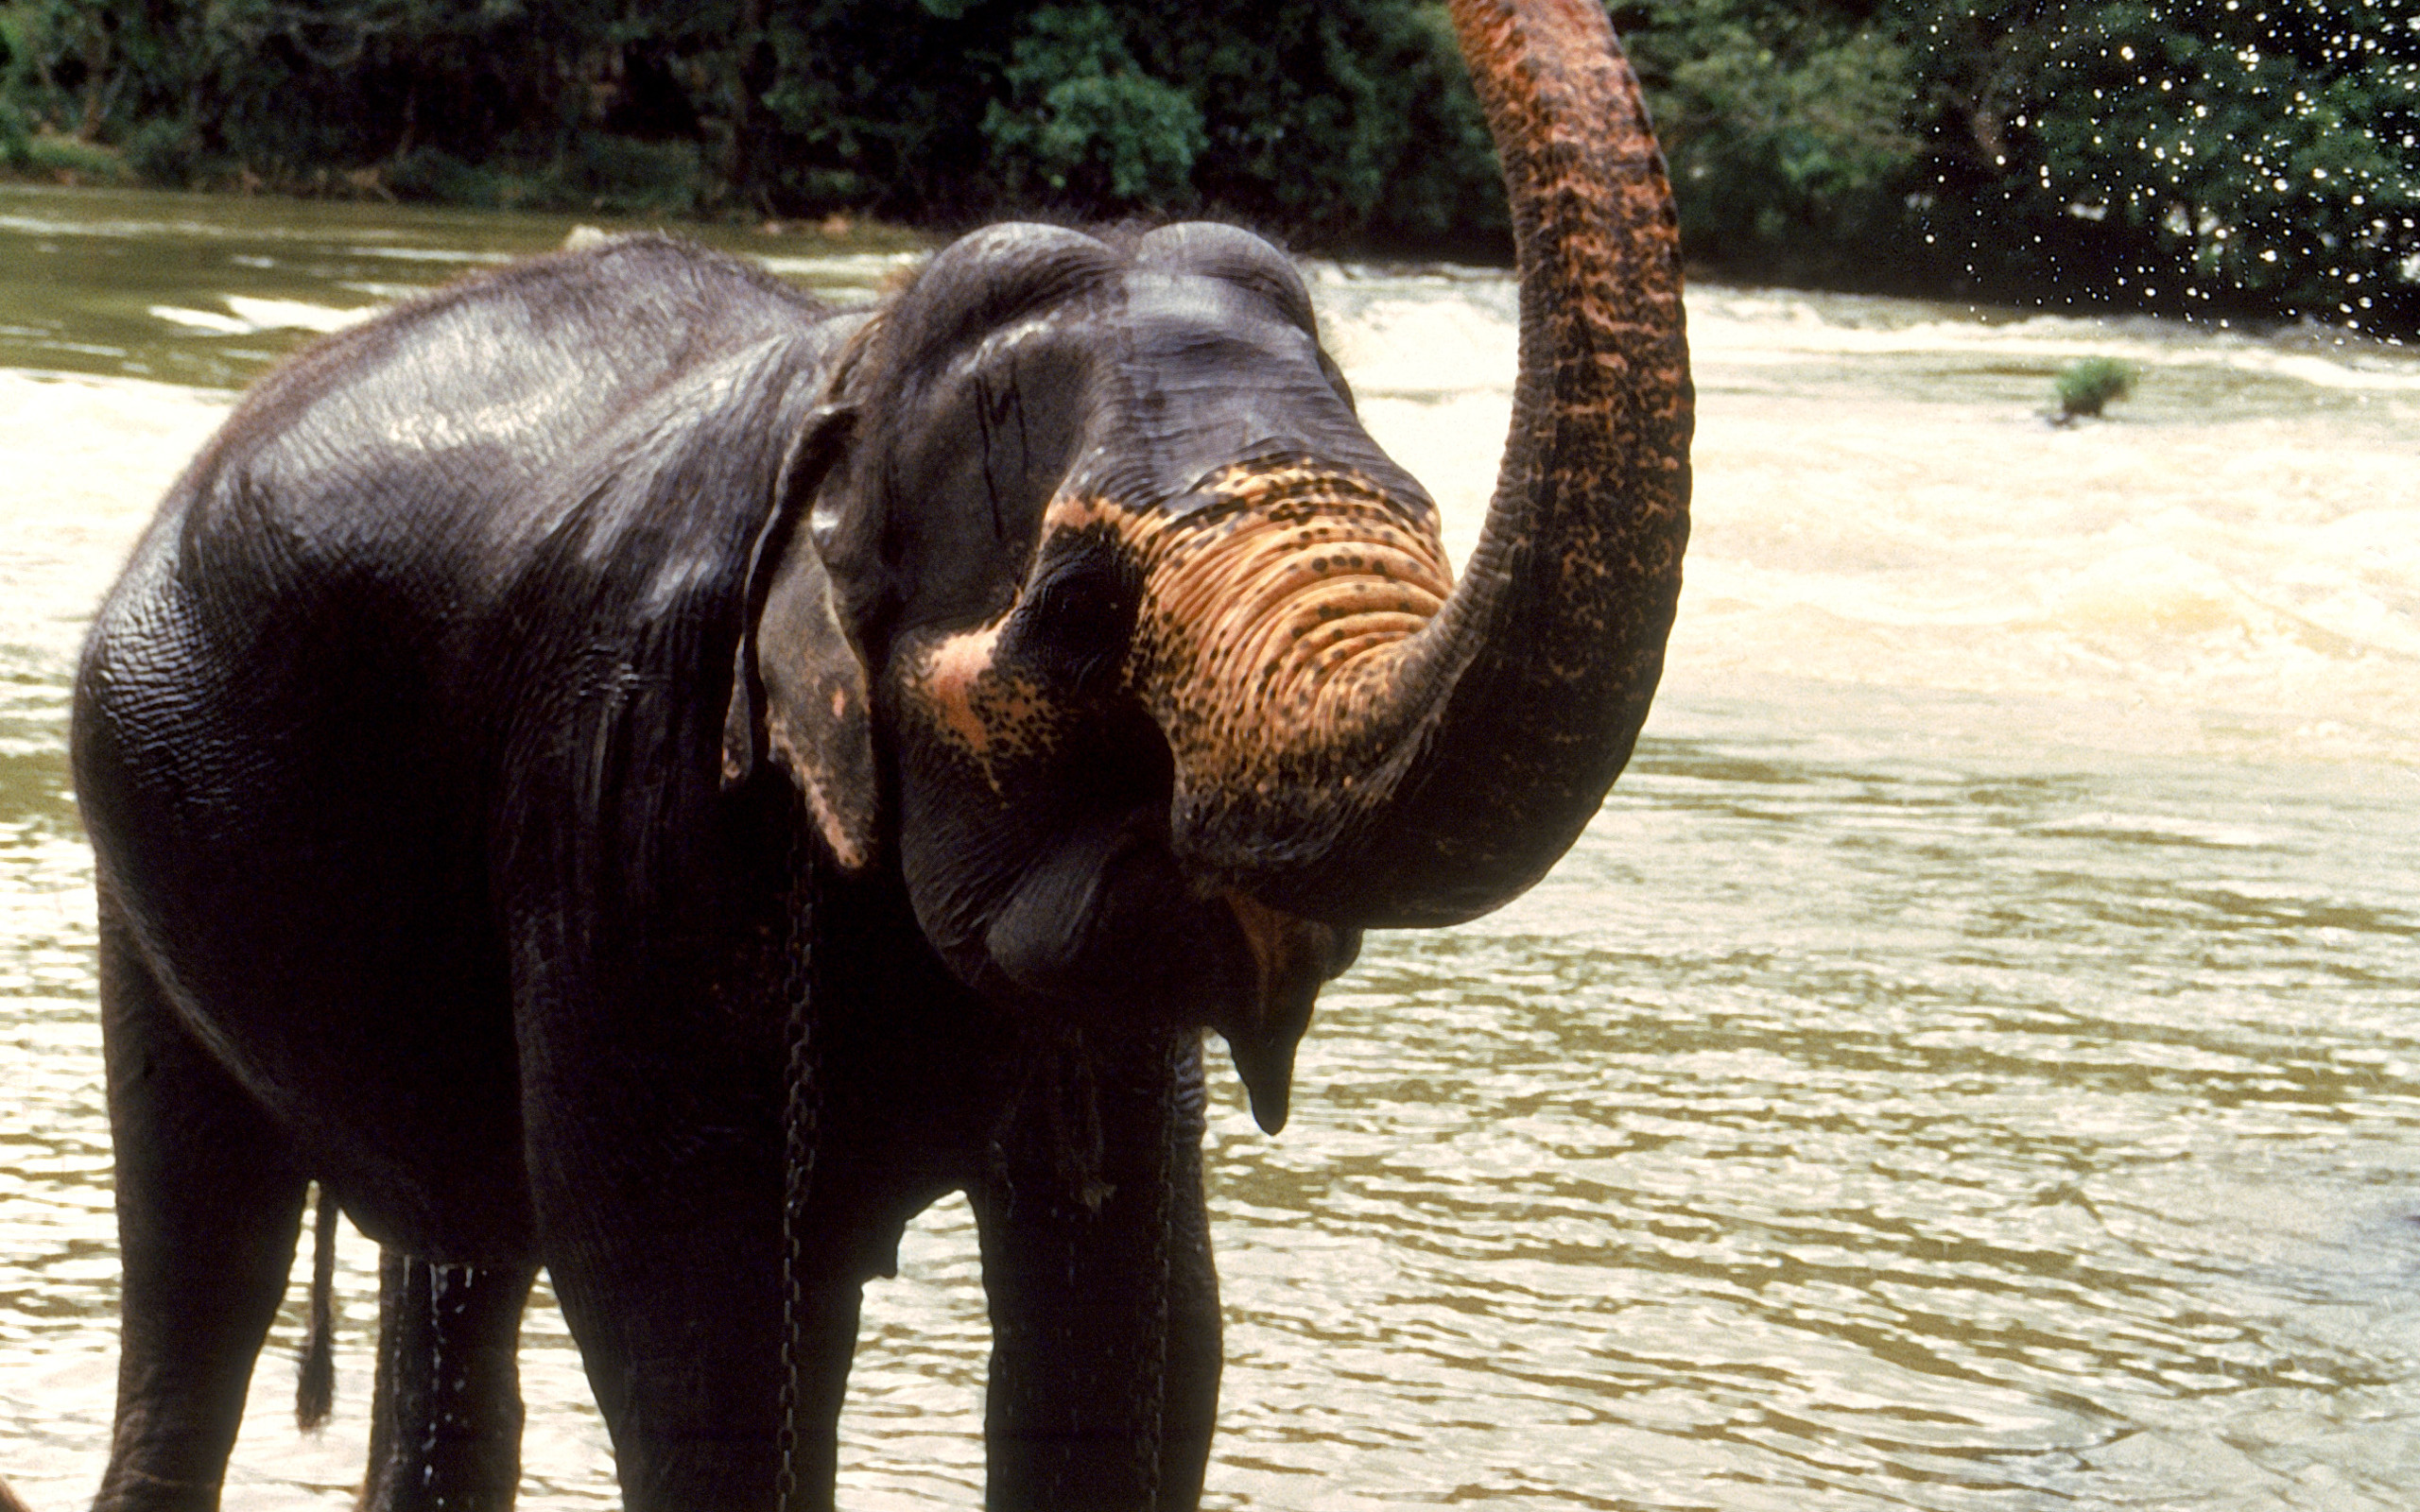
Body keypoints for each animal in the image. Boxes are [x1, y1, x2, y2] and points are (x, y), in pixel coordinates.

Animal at [63, 0, 1691, 1507]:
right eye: (1076, 610)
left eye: (1426, 516)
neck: (850, 372)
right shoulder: (631, 792)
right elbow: (698, 1321)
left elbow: (1140, 1326)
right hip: (132, 853)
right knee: (207, 1257)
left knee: (453, 1264)